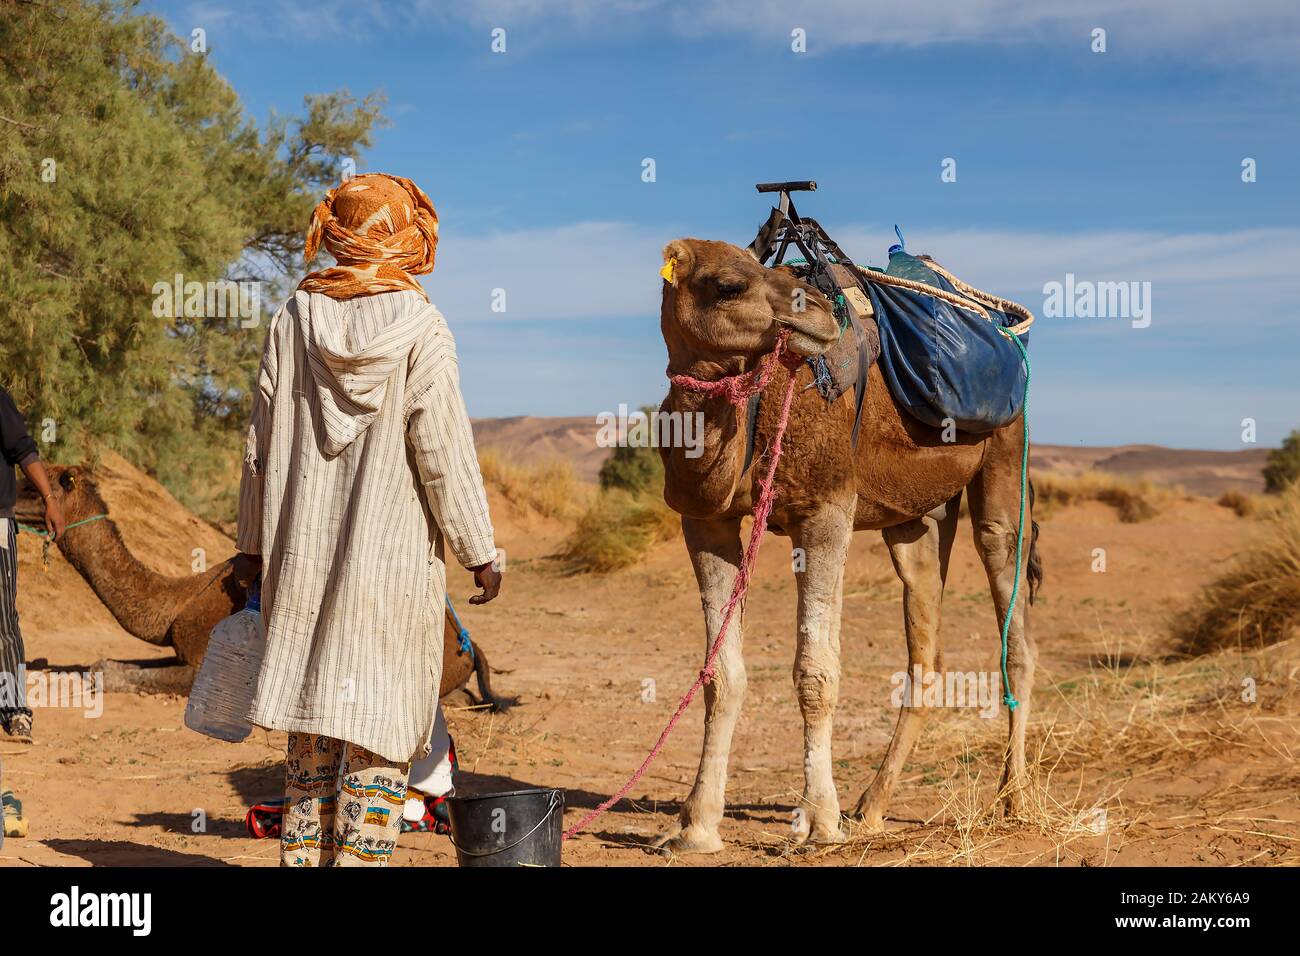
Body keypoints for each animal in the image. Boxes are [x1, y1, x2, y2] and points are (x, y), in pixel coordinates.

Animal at [13, 465, 502, 708]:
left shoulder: (200, 659)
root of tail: (469, 644)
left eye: (34, 488)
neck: (180, 599)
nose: (8, 498)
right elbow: (106, 662)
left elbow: (114, 674)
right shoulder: (180, 647)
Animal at [653, 238, 1041, 853]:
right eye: (727, 285)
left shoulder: (826, 511)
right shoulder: (704, 521)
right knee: (925, 649)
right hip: (914, 520)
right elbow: (721, 674)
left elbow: (816, 671)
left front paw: (819, 821)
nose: (816, 312)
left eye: (761, 265)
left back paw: (1014, 798)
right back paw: (873, 806)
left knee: (1014, 626)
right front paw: (696, 825)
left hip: (1007, 457)